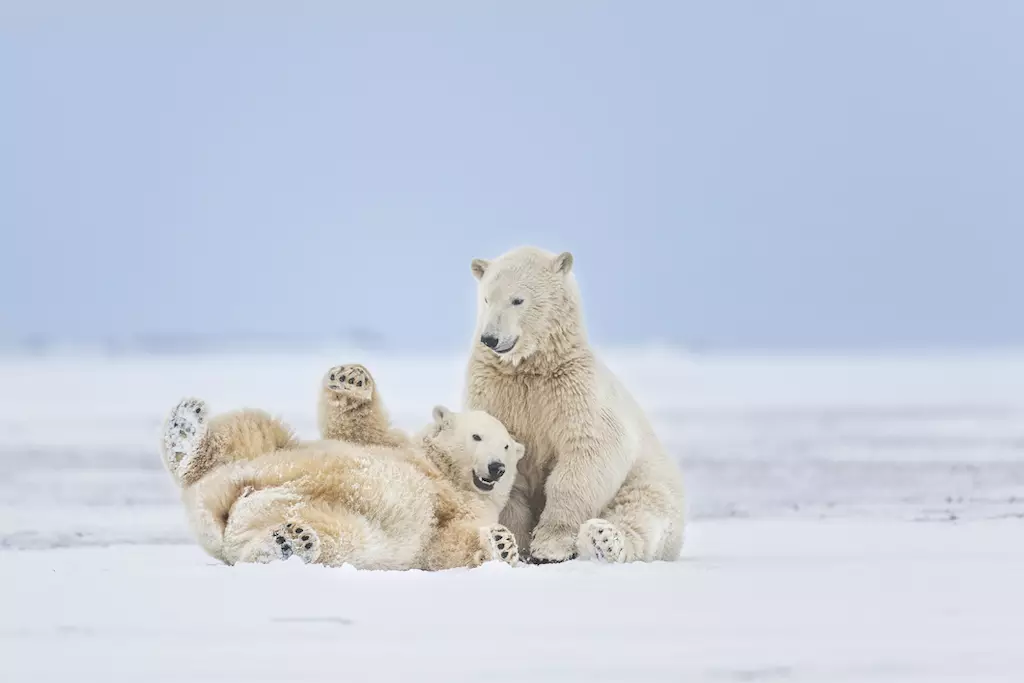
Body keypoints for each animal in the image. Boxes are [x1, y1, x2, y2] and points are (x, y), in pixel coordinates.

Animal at [161, 362, 528, 573]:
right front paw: (350, 377)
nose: (496, 468)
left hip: (333, 520)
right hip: (262, 459)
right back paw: (185, 428)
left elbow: (447, 545)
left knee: (331, 540)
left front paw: (503, 544)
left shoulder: (465, 511)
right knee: (249, 428)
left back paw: (292, 541)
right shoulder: (398, 447)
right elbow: (358, 427)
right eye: (477, 436)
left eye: (506, 447)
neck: (446, 475)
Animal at [466, 245, 688, 565]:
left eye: (517, 299)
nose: (490, 338)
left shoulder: (574, 390)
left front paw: (550, 546)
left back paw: (604, 540)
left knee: (642, 512)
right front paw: (511, 544)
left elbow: (590, 450)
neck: (531, 368)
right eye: (486, 298)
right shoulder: (497, 391)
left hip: (649, 477)